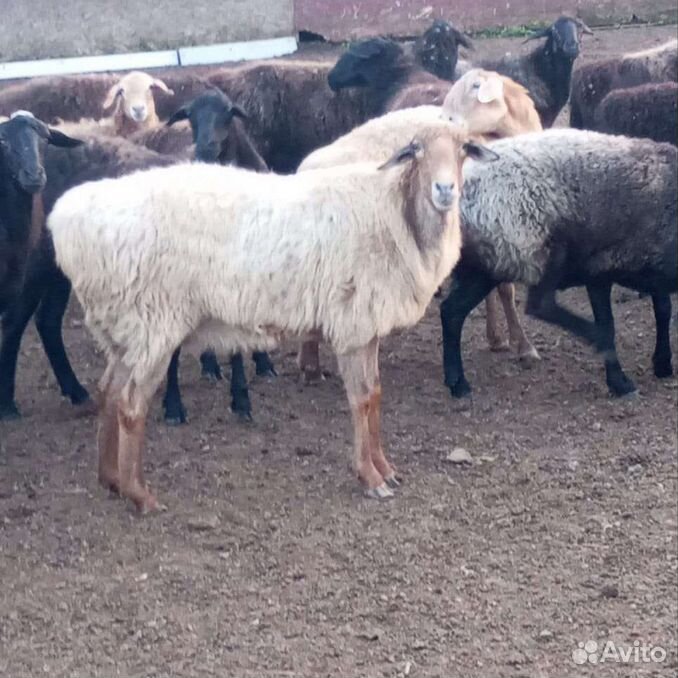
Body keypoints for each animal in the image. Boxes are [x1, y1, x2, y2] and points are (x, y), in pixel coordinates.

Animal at [0, 133, 179, 420]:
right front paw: (174, 406)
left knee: (47, 320)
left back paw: (75, 391)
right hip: (37, 263)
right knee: (15, 321)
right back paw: (7, 403)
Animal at [47, 121, 496, 511]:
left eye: (463, 149)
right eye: (416, 150)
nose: (444, 190)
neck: (396, 213)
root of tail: (67, 220)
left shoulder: (366, 326)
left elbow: (375, 395)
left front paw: (385, 469)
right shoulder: (352, 323)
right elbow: (360, 400)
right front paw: (369, 477)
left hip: (125, 326)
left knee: (108, 392)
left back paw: (109, 479)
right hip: (152, 321)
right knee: (130, 405)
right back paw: (139, 494)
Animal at [440, 129, 676, 401]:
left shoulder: (625, 272)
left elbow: (660, 310)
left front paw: (658, 365)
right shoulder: (601, 267)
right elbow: (610, 324)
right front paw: (621, 380)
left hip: (482, 266)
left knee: (451, 312)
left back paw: (456, 382)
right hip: (531, 248)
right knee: (538, 304)